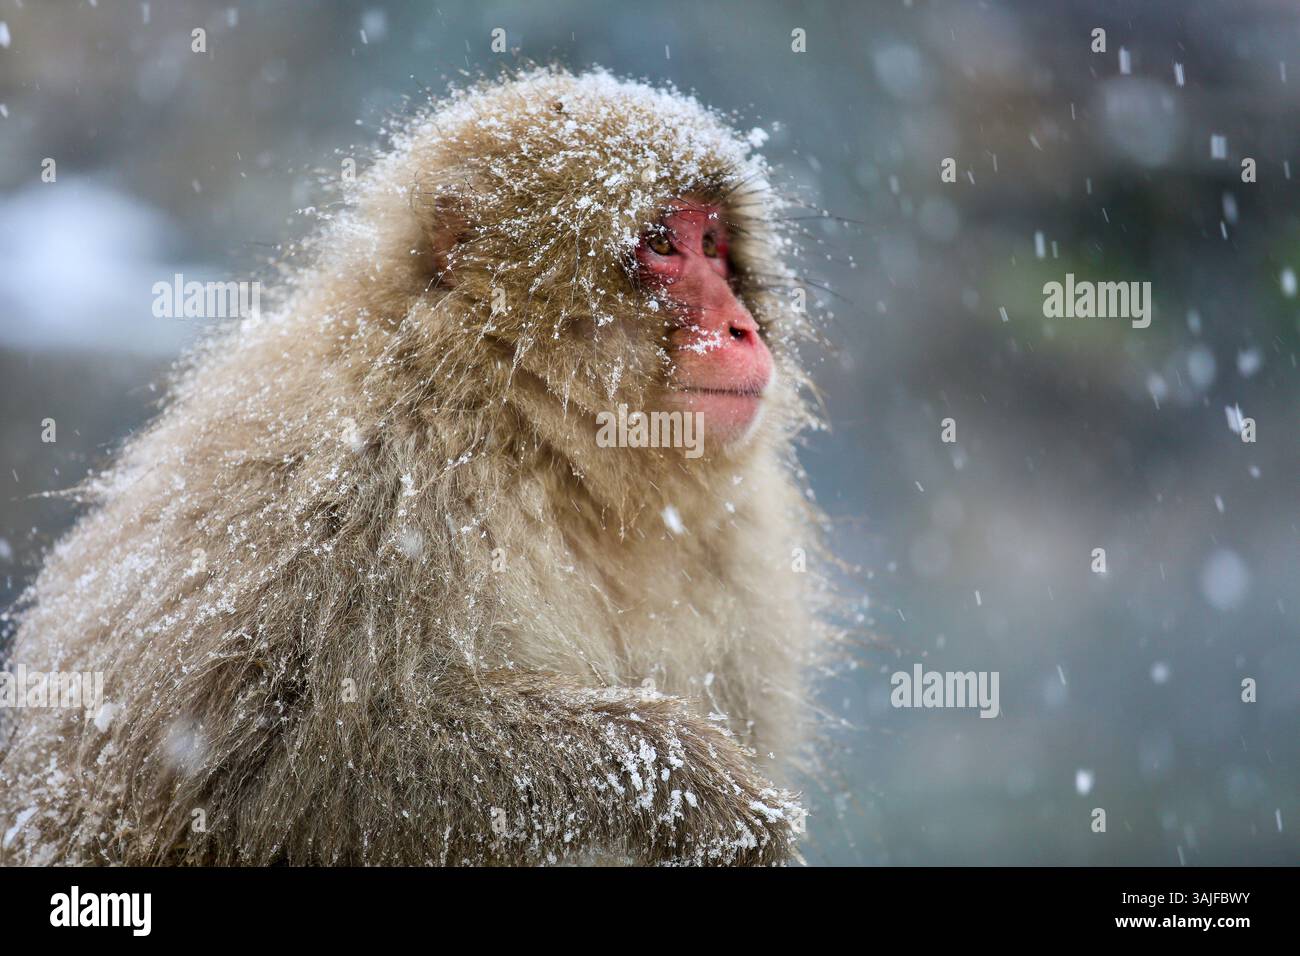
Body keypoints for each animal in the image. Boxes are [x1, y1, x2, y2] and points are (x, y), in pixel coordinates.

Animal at [0, 67, 834, 866]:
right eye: (663, 244)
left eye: (715, 244)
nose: (742, 326)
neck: (527, 437)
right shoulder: (356, 494)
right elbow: (279, 778)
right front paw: (679, 777)